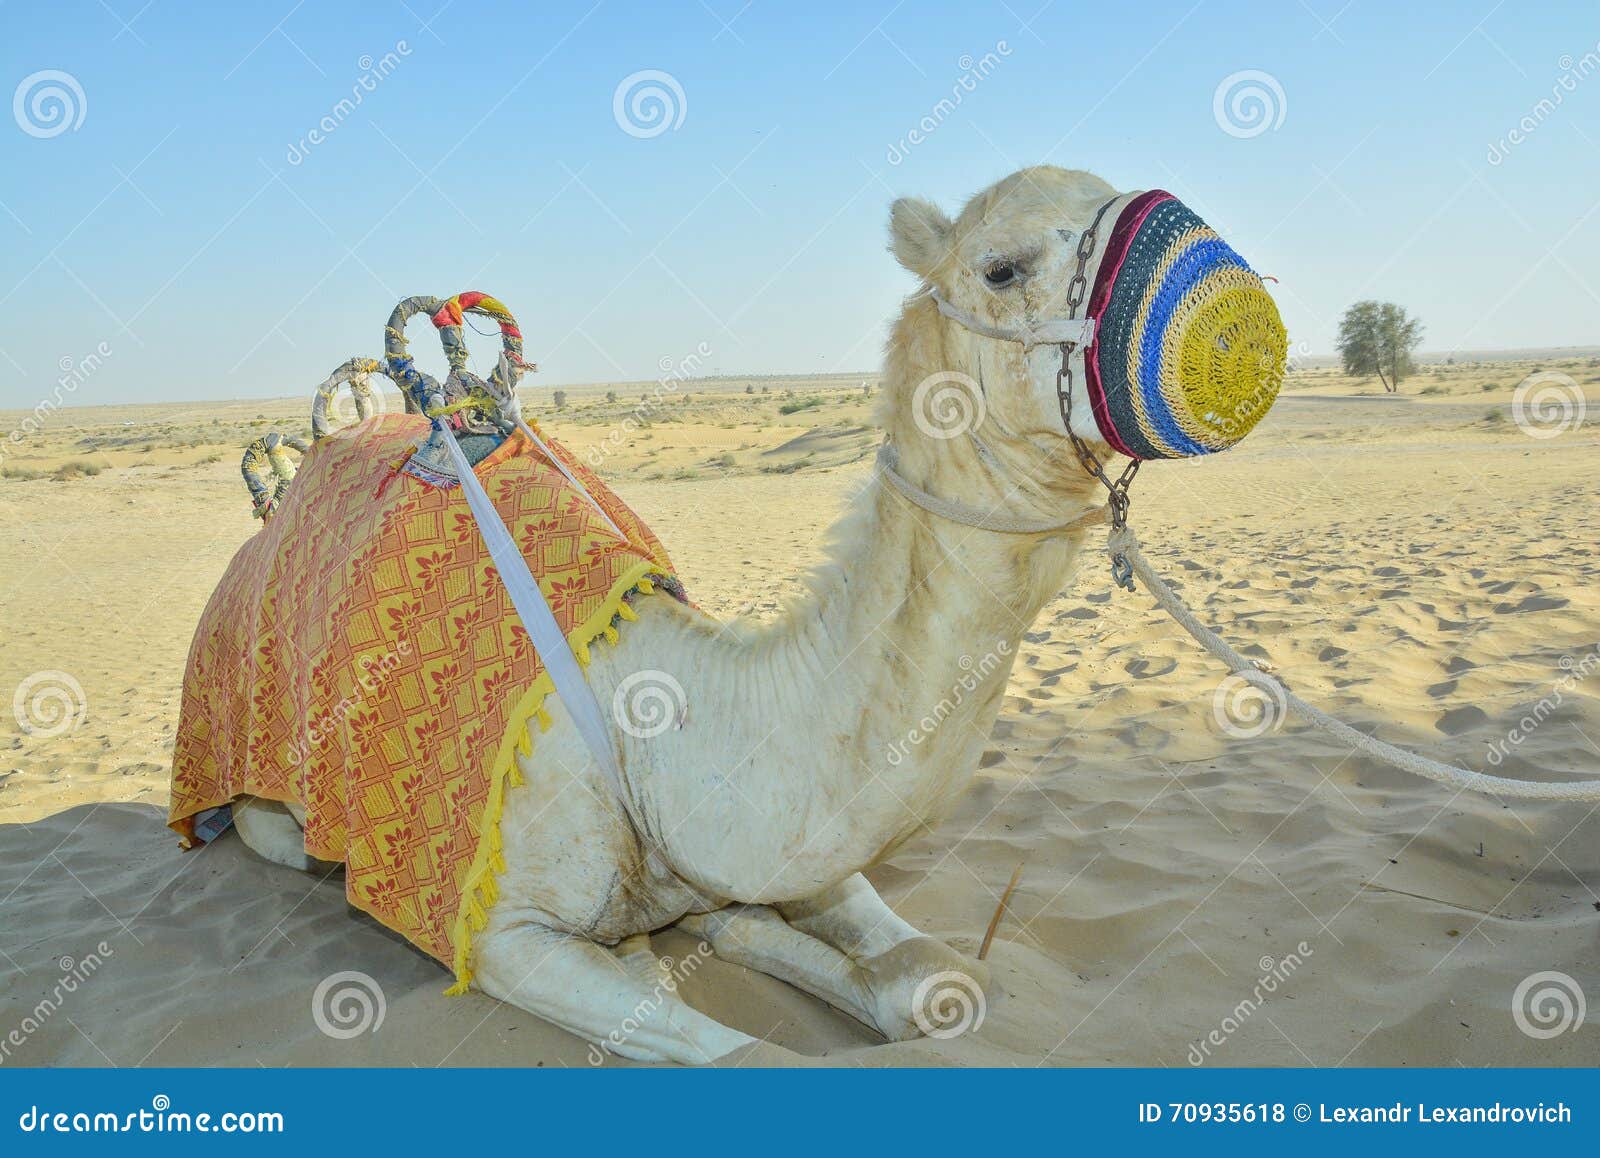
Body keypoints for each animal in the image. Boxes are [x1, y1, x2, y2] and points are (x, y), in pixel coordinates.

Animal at [231, 166, 1178, 1061]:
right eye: (1001, 267)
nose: (1203, 259)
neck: (666, 723)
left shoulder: (775, 850)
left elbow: (922, 983)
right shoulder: (505, 938)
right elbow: (740, 1049)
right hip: (264, 803)